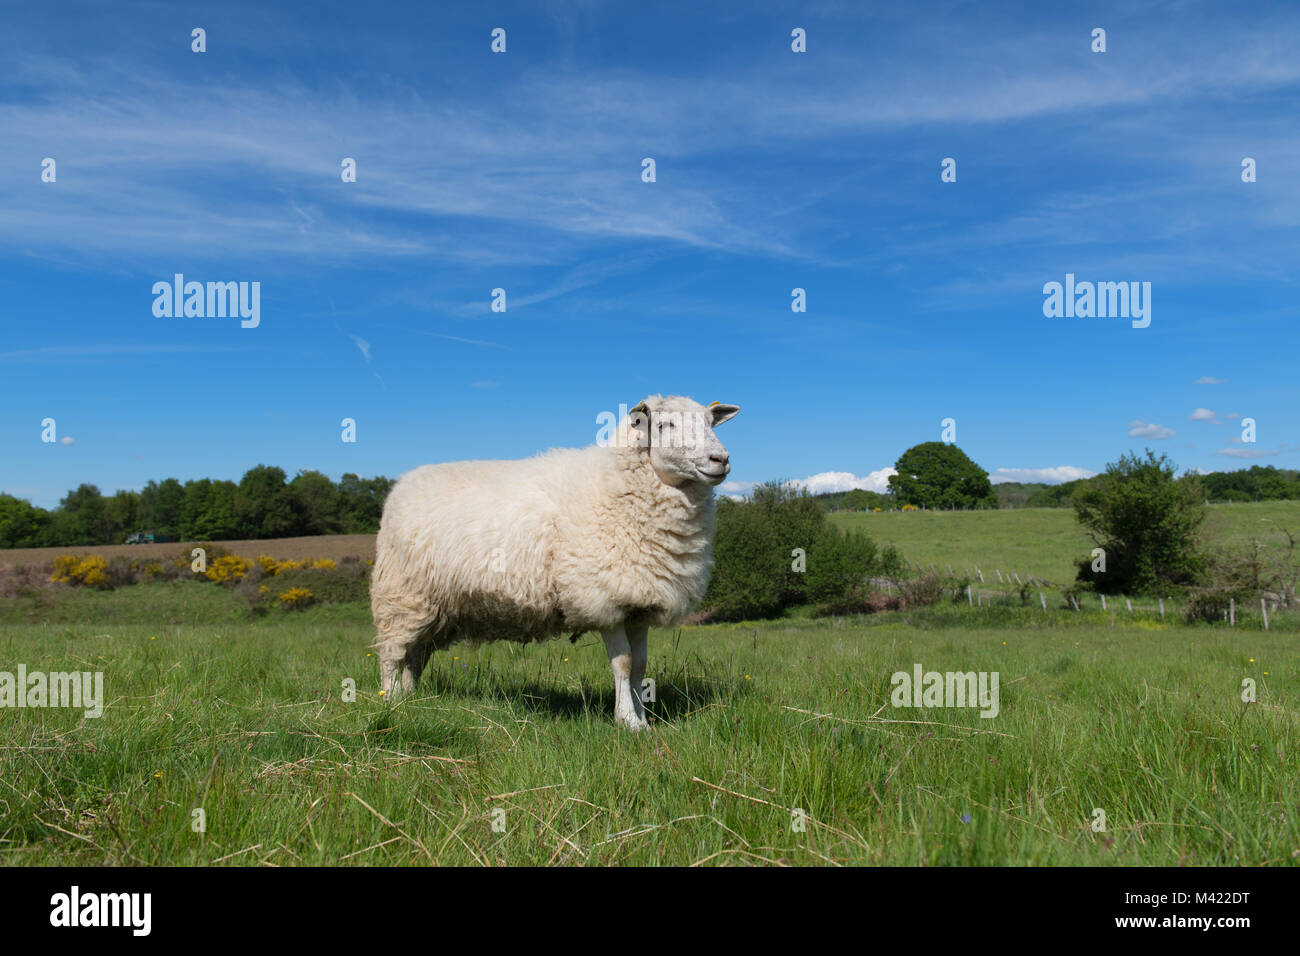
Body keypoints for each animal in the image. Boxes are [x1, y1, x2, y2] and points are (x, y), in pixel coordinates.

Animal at [370, 394, 740, 730]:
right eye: (665, 425)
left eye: (710, 423)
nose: (721, 459)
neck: (617, 484)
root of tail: (401, 484)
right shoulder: (604, 597)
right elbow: (622, 663)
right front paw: (627, 723)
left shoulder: (639, 602)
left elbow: (640, 666)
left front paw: (644, 722)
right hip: (400, 596)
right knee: (391, 654)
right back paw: (391, 702)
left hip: (436, 607)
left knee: (415, 655)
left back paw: (413, 699)